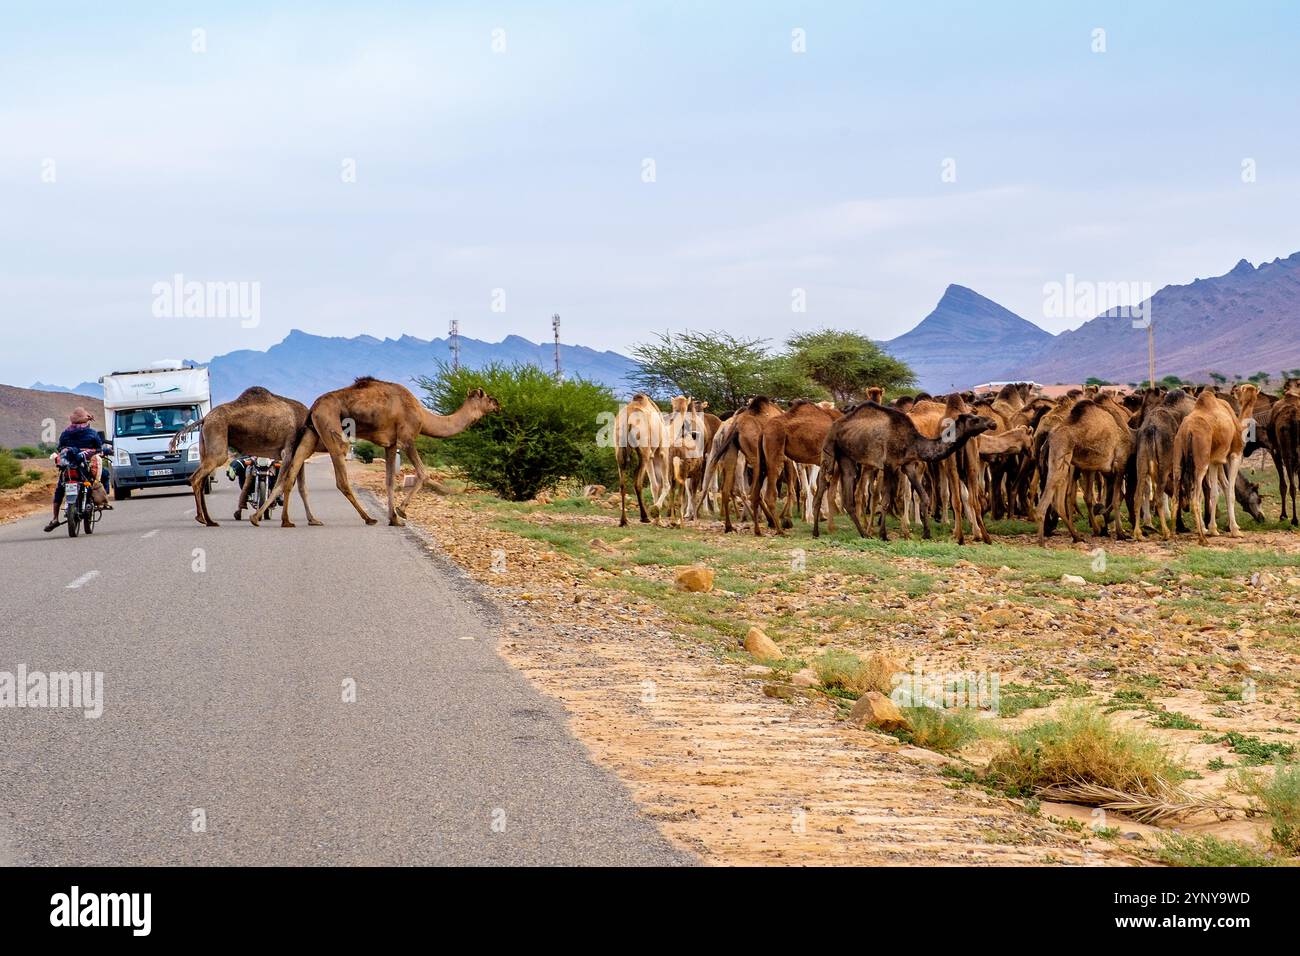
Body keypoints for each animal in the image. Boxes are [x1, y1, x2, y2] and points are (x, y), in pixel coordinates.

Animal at [168, 386, 320, 528]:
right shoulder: (289, 450)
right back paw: (201, 518)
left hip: (204, 445)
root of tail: (204, 419)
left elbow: (302, 488)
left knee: (202, 480)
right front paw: (282, 521)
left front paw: (313, 520)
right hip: (217, 440)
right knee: (196, 477)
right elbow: (281, 484)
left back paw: (210, 521)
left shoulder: (298, 452)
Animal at [250, 378, 499, 527]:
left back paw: (271, 519)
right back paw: (368, 518)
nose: (499, 404)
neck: (424, 416)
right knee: (341, 480)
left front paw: (394, 519)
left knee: (290, 474)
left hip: (311, 436)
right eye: (488, 397)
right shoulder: (407, 438)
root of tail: (314, 407)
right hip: (333, 431)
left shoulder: (390, 444)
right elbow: (422, 473)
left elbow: (389, 481)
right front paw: (402, 511)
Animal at [749, 399, 843, 536]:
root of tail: (764, 431)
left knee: (755, 494)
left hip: (762, 460)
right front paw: (830, 527)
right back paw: (780, 530)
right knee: (770, 494)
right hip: (775, 449)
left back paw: (758, 530)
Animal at [812, 402, 995, 540]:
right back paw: (816, 531)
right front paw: (884, 535)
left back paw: (864, 533)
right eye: (975, 419)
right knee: (821, 486)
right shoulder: (890, 465)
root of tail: (835, 424)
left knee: (848, 497)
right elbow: (886, 500)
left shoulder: (907, 465)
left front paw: (926, 533)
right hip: (829, 448)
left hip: (847, 457)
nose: (992, 422)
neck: (913, 441)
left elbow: (924, 496)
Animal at [1170, 384, 1258, 543]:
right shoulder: (1234, 454)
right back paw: (1202, 537)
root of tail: (1188, 430)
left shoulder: (1216, 460)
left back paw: (1172, 534)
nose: (1235, 390)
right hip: (1201, 461)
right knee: (1195, 497)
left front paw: (1216, 528)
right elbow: (1228, 491)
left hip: (1178, 455)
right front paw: (1234, 530)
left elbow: (1218, 490)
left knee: (1177, 494)